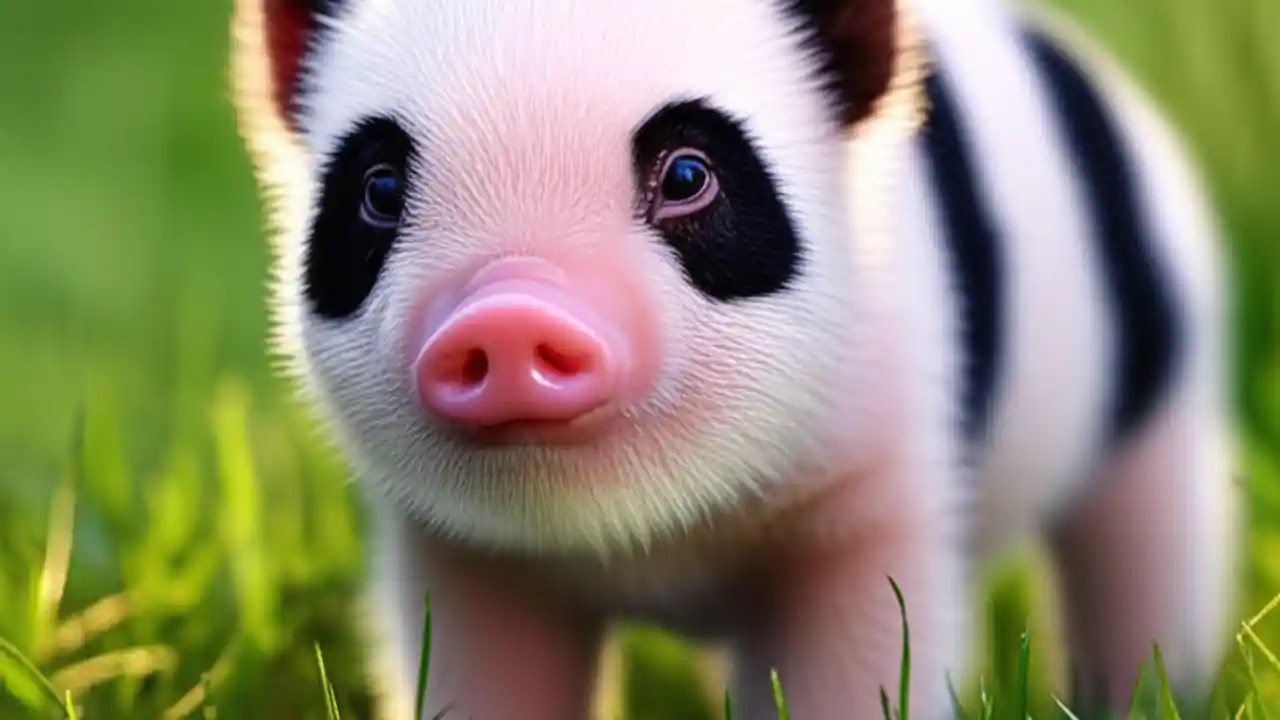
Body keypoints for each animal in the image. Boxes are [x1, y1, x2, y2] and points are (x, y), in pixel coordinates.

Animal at [229, 0, 1239, 717]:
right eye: (380, 188)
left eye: (688, 174)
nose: (509, 315)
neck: (643, 532)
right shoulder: (464, 550)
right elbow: (488, 670)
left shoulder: (878, 473)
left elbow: (859, 657)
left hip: (1167, 363)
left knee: (1145, 536)